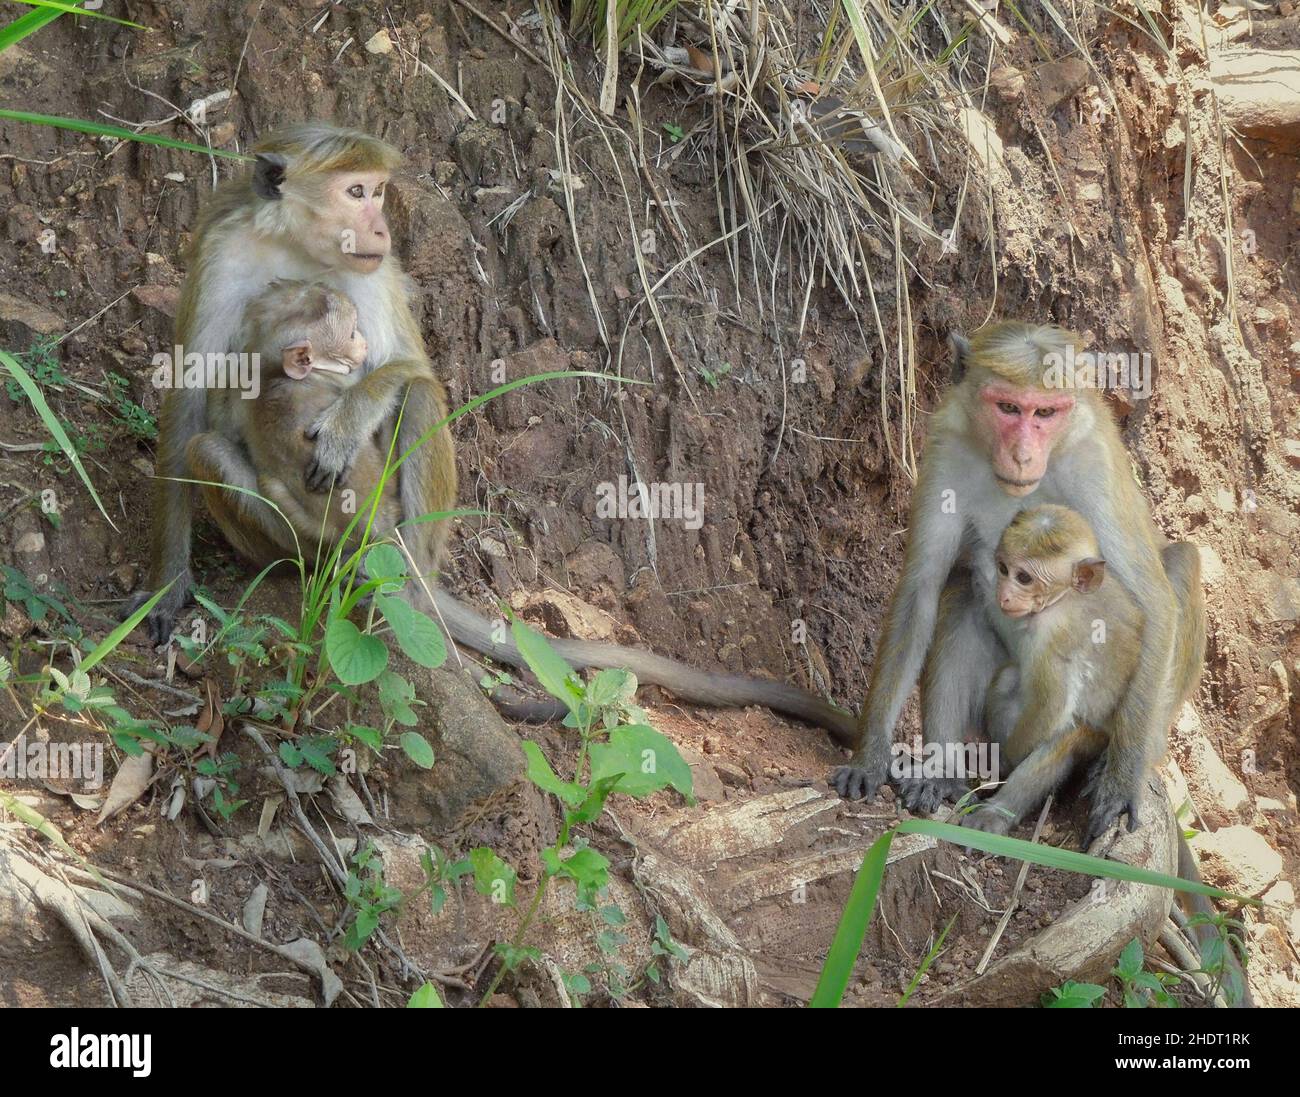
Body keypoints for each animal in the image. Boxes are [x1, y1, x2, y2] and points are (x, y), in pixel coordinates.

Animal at [125, 122, 859, 745]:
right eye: (355, 192)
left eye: (377, 192)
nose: (380, 224)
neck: (296, 245)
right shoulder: (223, 244)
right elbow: (190, 396)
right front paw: (167, 582)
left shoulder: (372, 273)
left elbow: (410, 370)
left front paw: (348, 417)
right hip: (304, 544)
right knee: (210, 452)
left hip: (414, 536)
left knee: (418, 398)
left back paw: (402, 594)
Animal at [830, 322, 1193, 847]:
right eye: (1007, 408)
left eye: (1044, 413)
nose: (1023, 454)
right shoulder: (946, 444)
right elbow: (921, 588)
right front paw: (870, 754)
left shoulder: (1094, 460)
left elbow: (1154, 601)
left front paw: (1122, 784)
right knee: (960, 592)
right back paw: (941, 774)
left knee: (1182, 562)